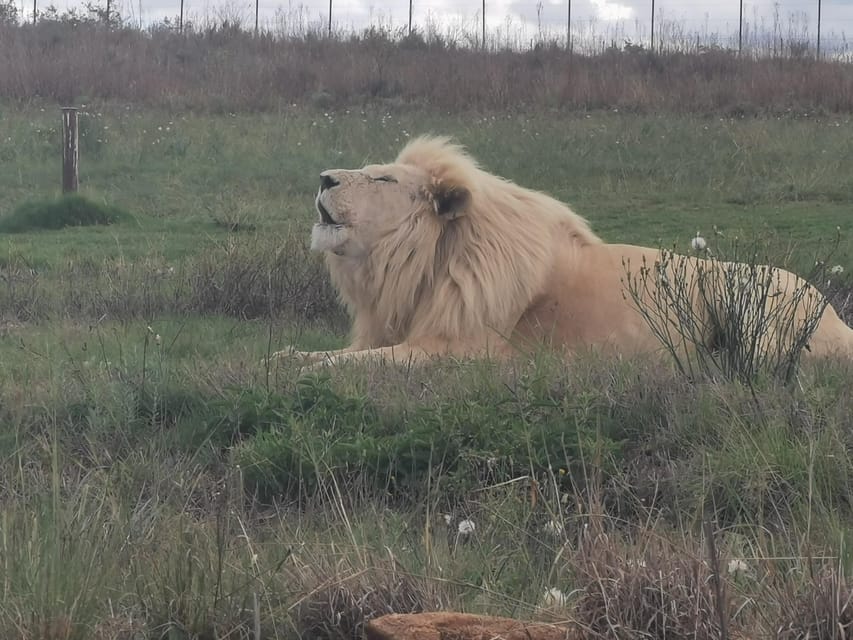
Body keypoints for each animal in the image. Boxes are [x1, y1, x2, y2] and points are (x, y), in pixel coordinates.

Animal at [278, 136, 853, 368]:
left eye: (382, 178)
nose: (323, 178)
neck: (419, 267)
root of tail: (834, 315)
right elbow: (331, 355)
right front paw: (286, 357)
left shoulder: (462, 349)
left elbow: (361, 364)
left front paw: (300, 368)